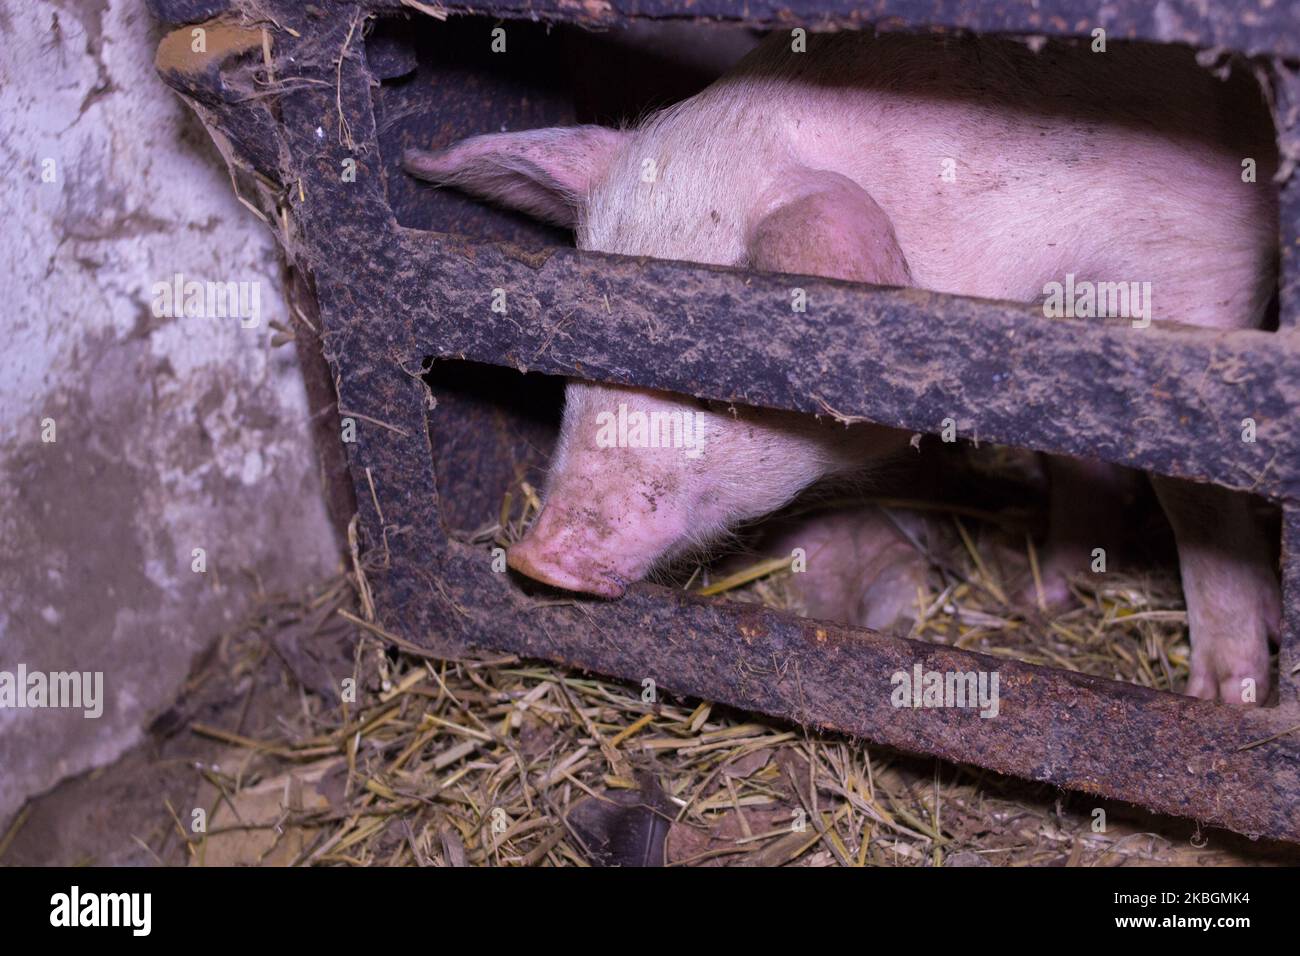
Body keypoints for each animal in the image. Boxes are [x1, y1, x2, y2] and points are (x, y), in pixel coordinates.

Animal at [405, 31, 1281, 704]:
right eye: (581, 348)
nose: (538, 556)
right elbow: (1077, 457)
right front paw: (1041, 595)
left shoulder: (1196, 275)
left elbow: (1195, 492)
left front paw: (1228, 697)